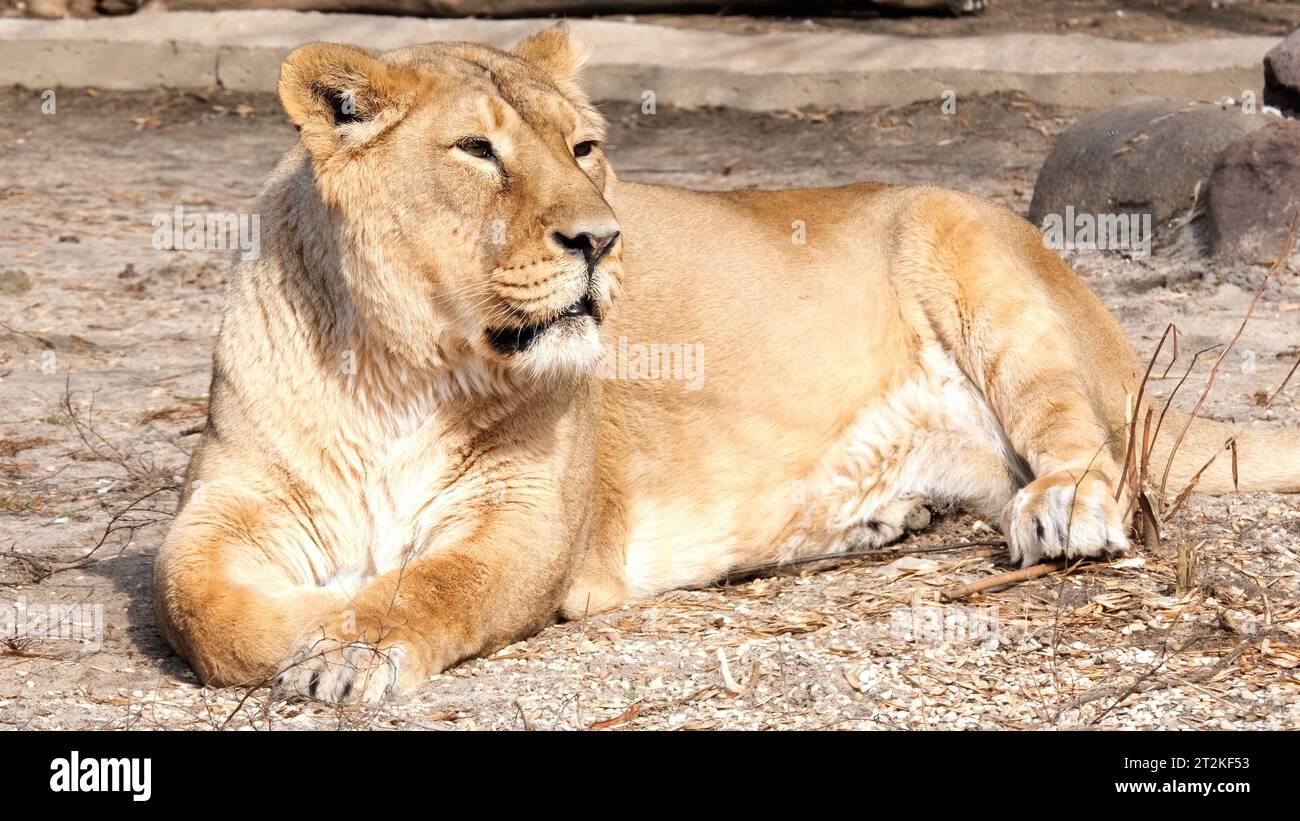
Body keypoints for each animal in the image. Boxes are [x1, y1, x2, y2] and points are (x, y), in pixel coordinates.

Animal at [153, 25, 1300, 704]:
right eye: (476, 151)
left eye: (583, 147)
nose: (601, 240)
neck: (399, 367)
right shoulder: (229, 502)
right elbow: (196, 604)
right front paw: (319, 617)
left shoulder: (527, 521)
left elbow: (432, 582)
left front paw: (348, 636)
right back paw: (882, 517)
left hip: (968, 242)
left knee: (1096, 453)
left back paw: (1064, 506)